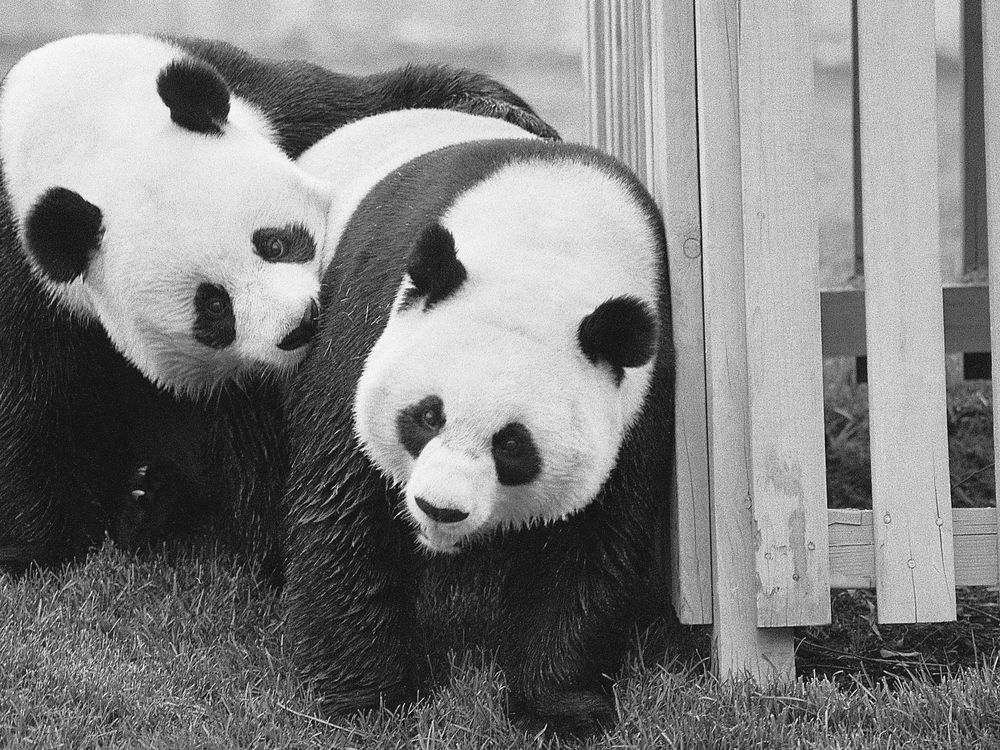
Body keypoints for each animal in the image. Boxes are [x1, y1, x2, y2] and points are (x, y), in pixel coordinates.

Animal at [0, 34, 555, 573]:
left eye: (274, 243)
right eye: (213, 307)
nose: (300, 326)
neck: (81, 125)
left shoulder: (279, 105)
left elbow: (384, 98)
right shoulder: (25, 279)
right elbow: (27, 408)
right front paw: (41, 546)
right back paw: (148, 500)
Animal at [282, 111, 673, 736]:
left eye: (512, 445)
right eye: (427, 415)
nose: (440, 509)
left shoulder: (641, 395)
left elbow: (592, 544)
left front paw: (562, 707)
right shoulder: (368, 316)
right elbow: (345, 505)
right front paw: (367, 701)